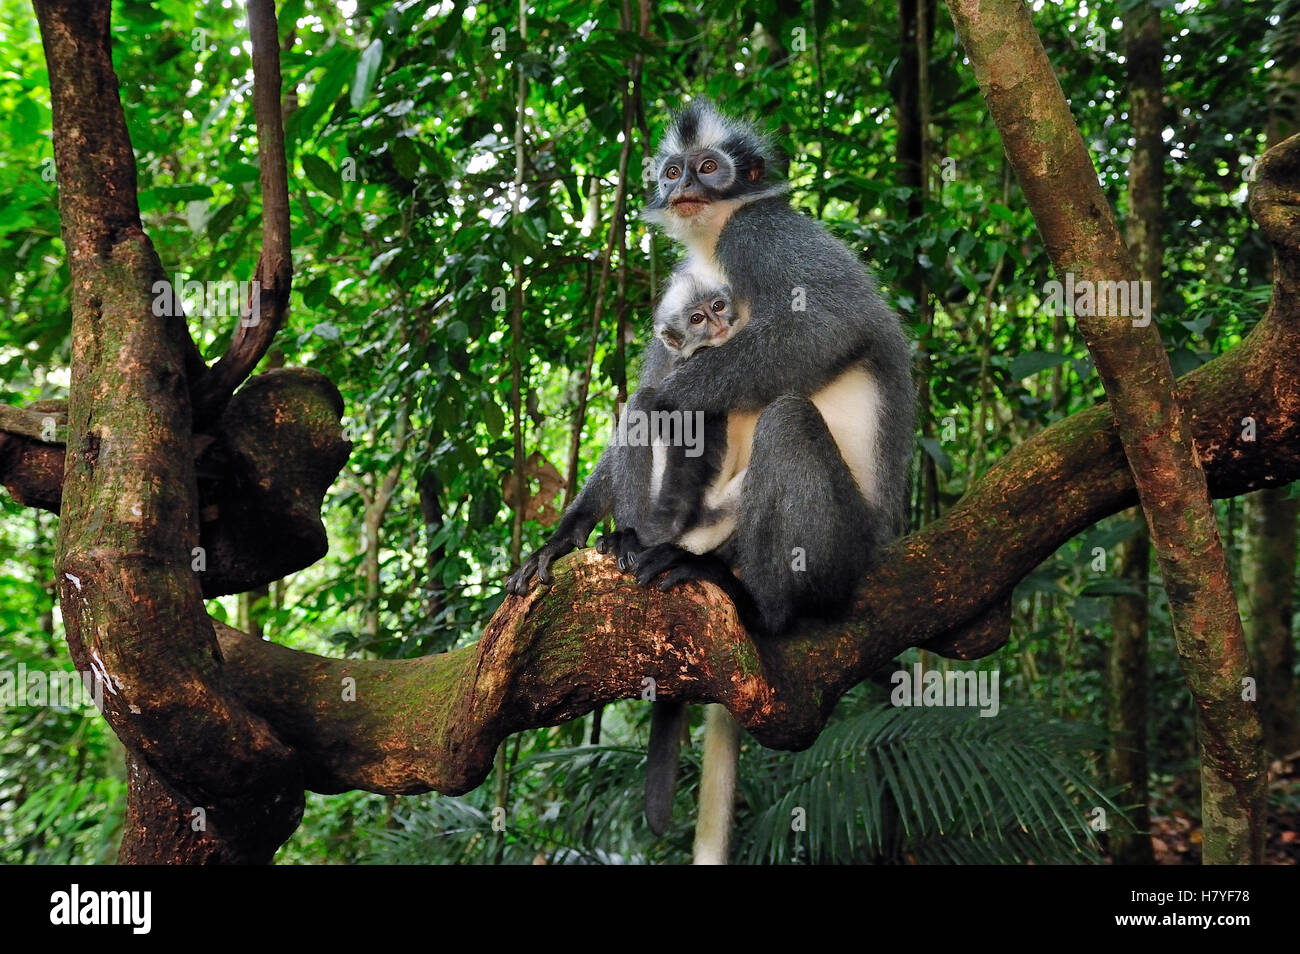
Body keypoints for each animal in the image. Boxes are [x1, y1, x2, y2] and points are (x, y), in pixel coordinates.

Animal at [506, 100, 915, 861]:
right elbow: (652, 381)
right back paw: (638, 544)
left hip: (845, 543)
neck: (714, 235)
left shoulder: (763, 235)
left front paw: (663, 406)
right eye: (672, 171)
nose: (685, 188)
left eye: (709, 167)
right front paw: (566, 534)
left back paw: (756, 605)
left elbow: (834, 322)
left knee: (786, 418)